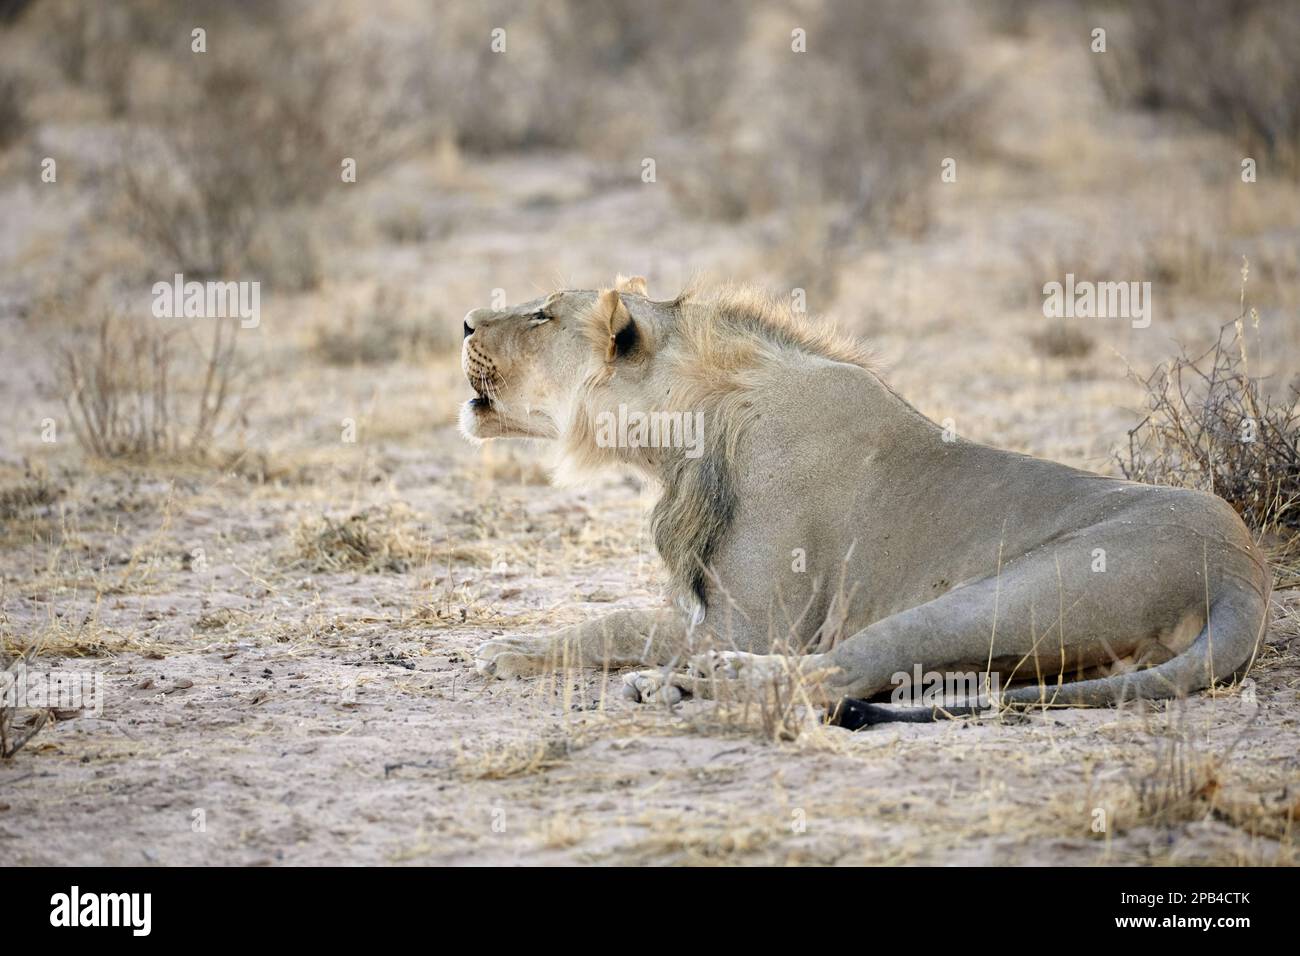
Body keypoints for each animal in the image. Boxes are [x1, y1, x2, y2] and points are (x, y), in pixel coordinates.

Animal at [460, 276, 1271, 725]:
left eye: (542, 315)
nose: (463, 321)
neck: (689, 426)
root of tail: (1244, 572)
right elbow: (624, 618)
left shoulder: (756, 622)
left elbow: (622, 622)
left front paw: (511, 649)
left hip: (999, 595)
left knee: (838, 673)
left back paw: (693, 683)